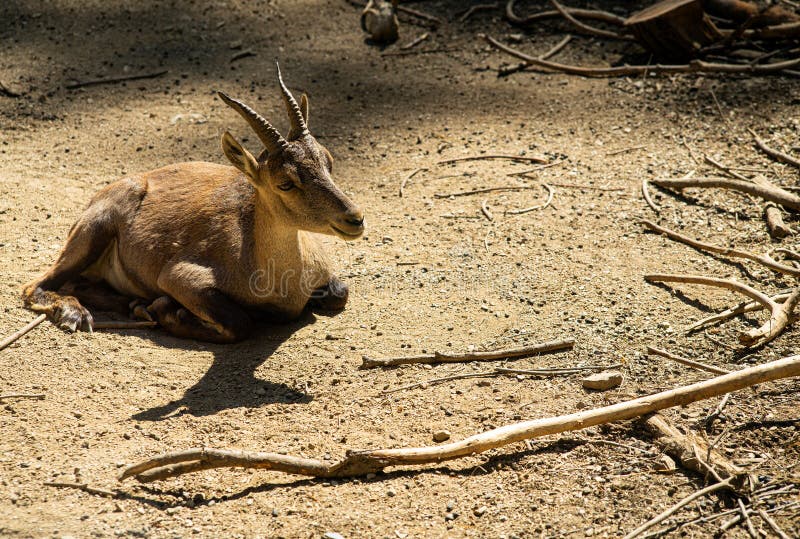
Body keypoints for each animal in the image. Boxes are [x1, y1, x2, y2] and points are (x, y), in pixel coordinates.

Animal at [22, 66, 364, 343]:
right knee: (36, 285)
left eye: (328, 161)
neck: (281, 283)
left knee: (78, 284)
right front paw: (167, 312)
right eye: (285, 182)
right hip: (94, 230)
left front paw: (157, 309)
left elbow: (341, 292)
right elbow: (240, 323)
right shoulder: (180, 276)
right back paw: (77, 314)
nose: (355, 218)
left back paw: (132, 305)